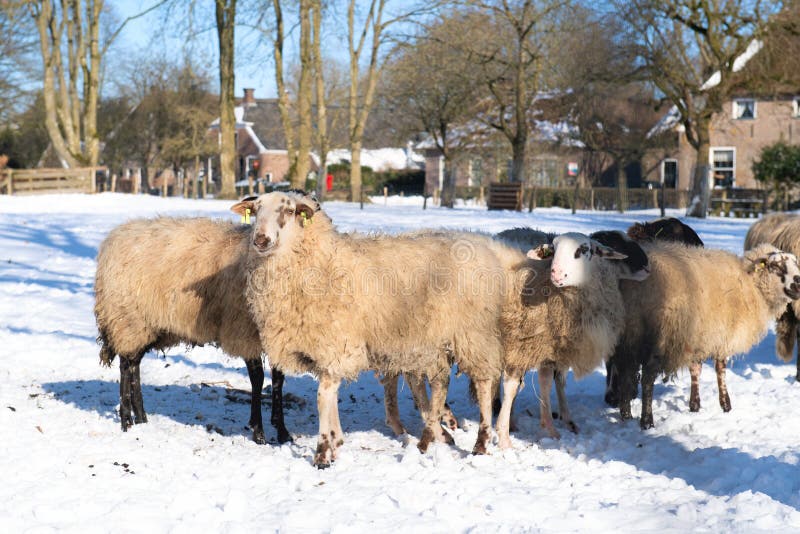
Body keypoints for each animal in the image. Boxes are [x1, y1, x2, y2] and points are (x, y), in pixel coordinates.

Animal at [94, 213, 293, 445]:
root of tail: (112, 239)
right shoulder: (243, 333)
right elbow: (258, 379)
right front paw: (259, 432)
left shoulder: (278, 337)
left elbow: (278, 380)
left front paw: (282, 431)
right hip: (127, 320)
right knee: (126, 366)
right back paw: (126, 421)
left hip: (147, 326)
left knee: (134, 364)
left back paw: (141, 418)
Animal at [235, 192, 507, 467]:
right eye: (255, 210)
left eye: (289, 211)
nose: (260, 239)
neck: (320, 260)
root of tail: (484, 246)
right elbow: (329, 396)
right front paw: (335, 443)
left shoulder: (337, 345)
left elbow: (323, 397)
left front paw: (323, 453)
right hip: (432, 341)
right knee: (440, 383)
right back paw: (433, 437)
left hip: (472, 333)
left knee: (484, 383)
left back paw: (480, 442)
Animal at [495, 232, 650, 448]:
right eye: (553, 250)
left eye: (584, 249)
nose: (557, 274)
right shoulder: (524, 345)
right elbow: (513, 386)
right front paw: (505, 435)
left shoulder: (553, 349)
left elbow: (552, 382)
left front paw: (557, 424)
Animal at [613, 241, 800, 429]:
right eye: (776, 266)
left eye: (796, 264)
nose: (798, 285)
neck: (751, 285)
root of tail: (634, 286)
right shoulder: (723, 337)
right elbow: (720, 370)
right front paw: (726, 405)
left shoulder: (699, 337)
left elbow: (695, 370)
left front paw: (694, 405)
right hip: (660, 335)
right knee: (647, 378)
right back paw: (647, 421)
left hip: (628, 334)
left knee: (625, 373)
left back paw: (626, 415)